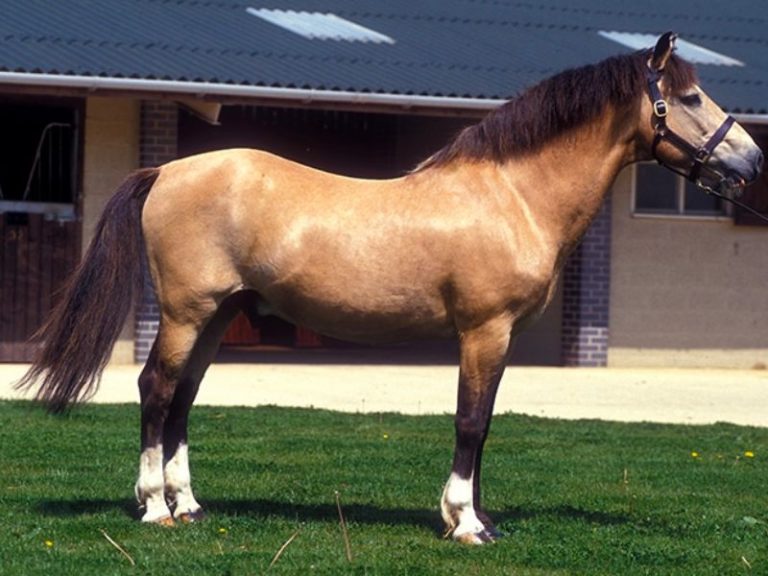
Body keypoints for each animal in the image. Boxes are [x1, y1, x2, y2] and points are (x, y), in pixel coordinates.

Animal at [16, 32, 763, 544]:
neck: (512, 195)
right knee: (156, 390)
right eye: (689, 97)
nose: (752, 159)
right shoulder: (483, 331)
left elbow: (486, 425)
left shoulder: (502, 339)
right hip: (184, 312)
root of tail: (168, 171)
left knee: (182, 398)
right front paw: (466, 524)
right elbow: (471, 421)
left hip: (218, 316)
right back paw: (154, 508)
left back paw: (190, 505)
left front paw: (473, 515)